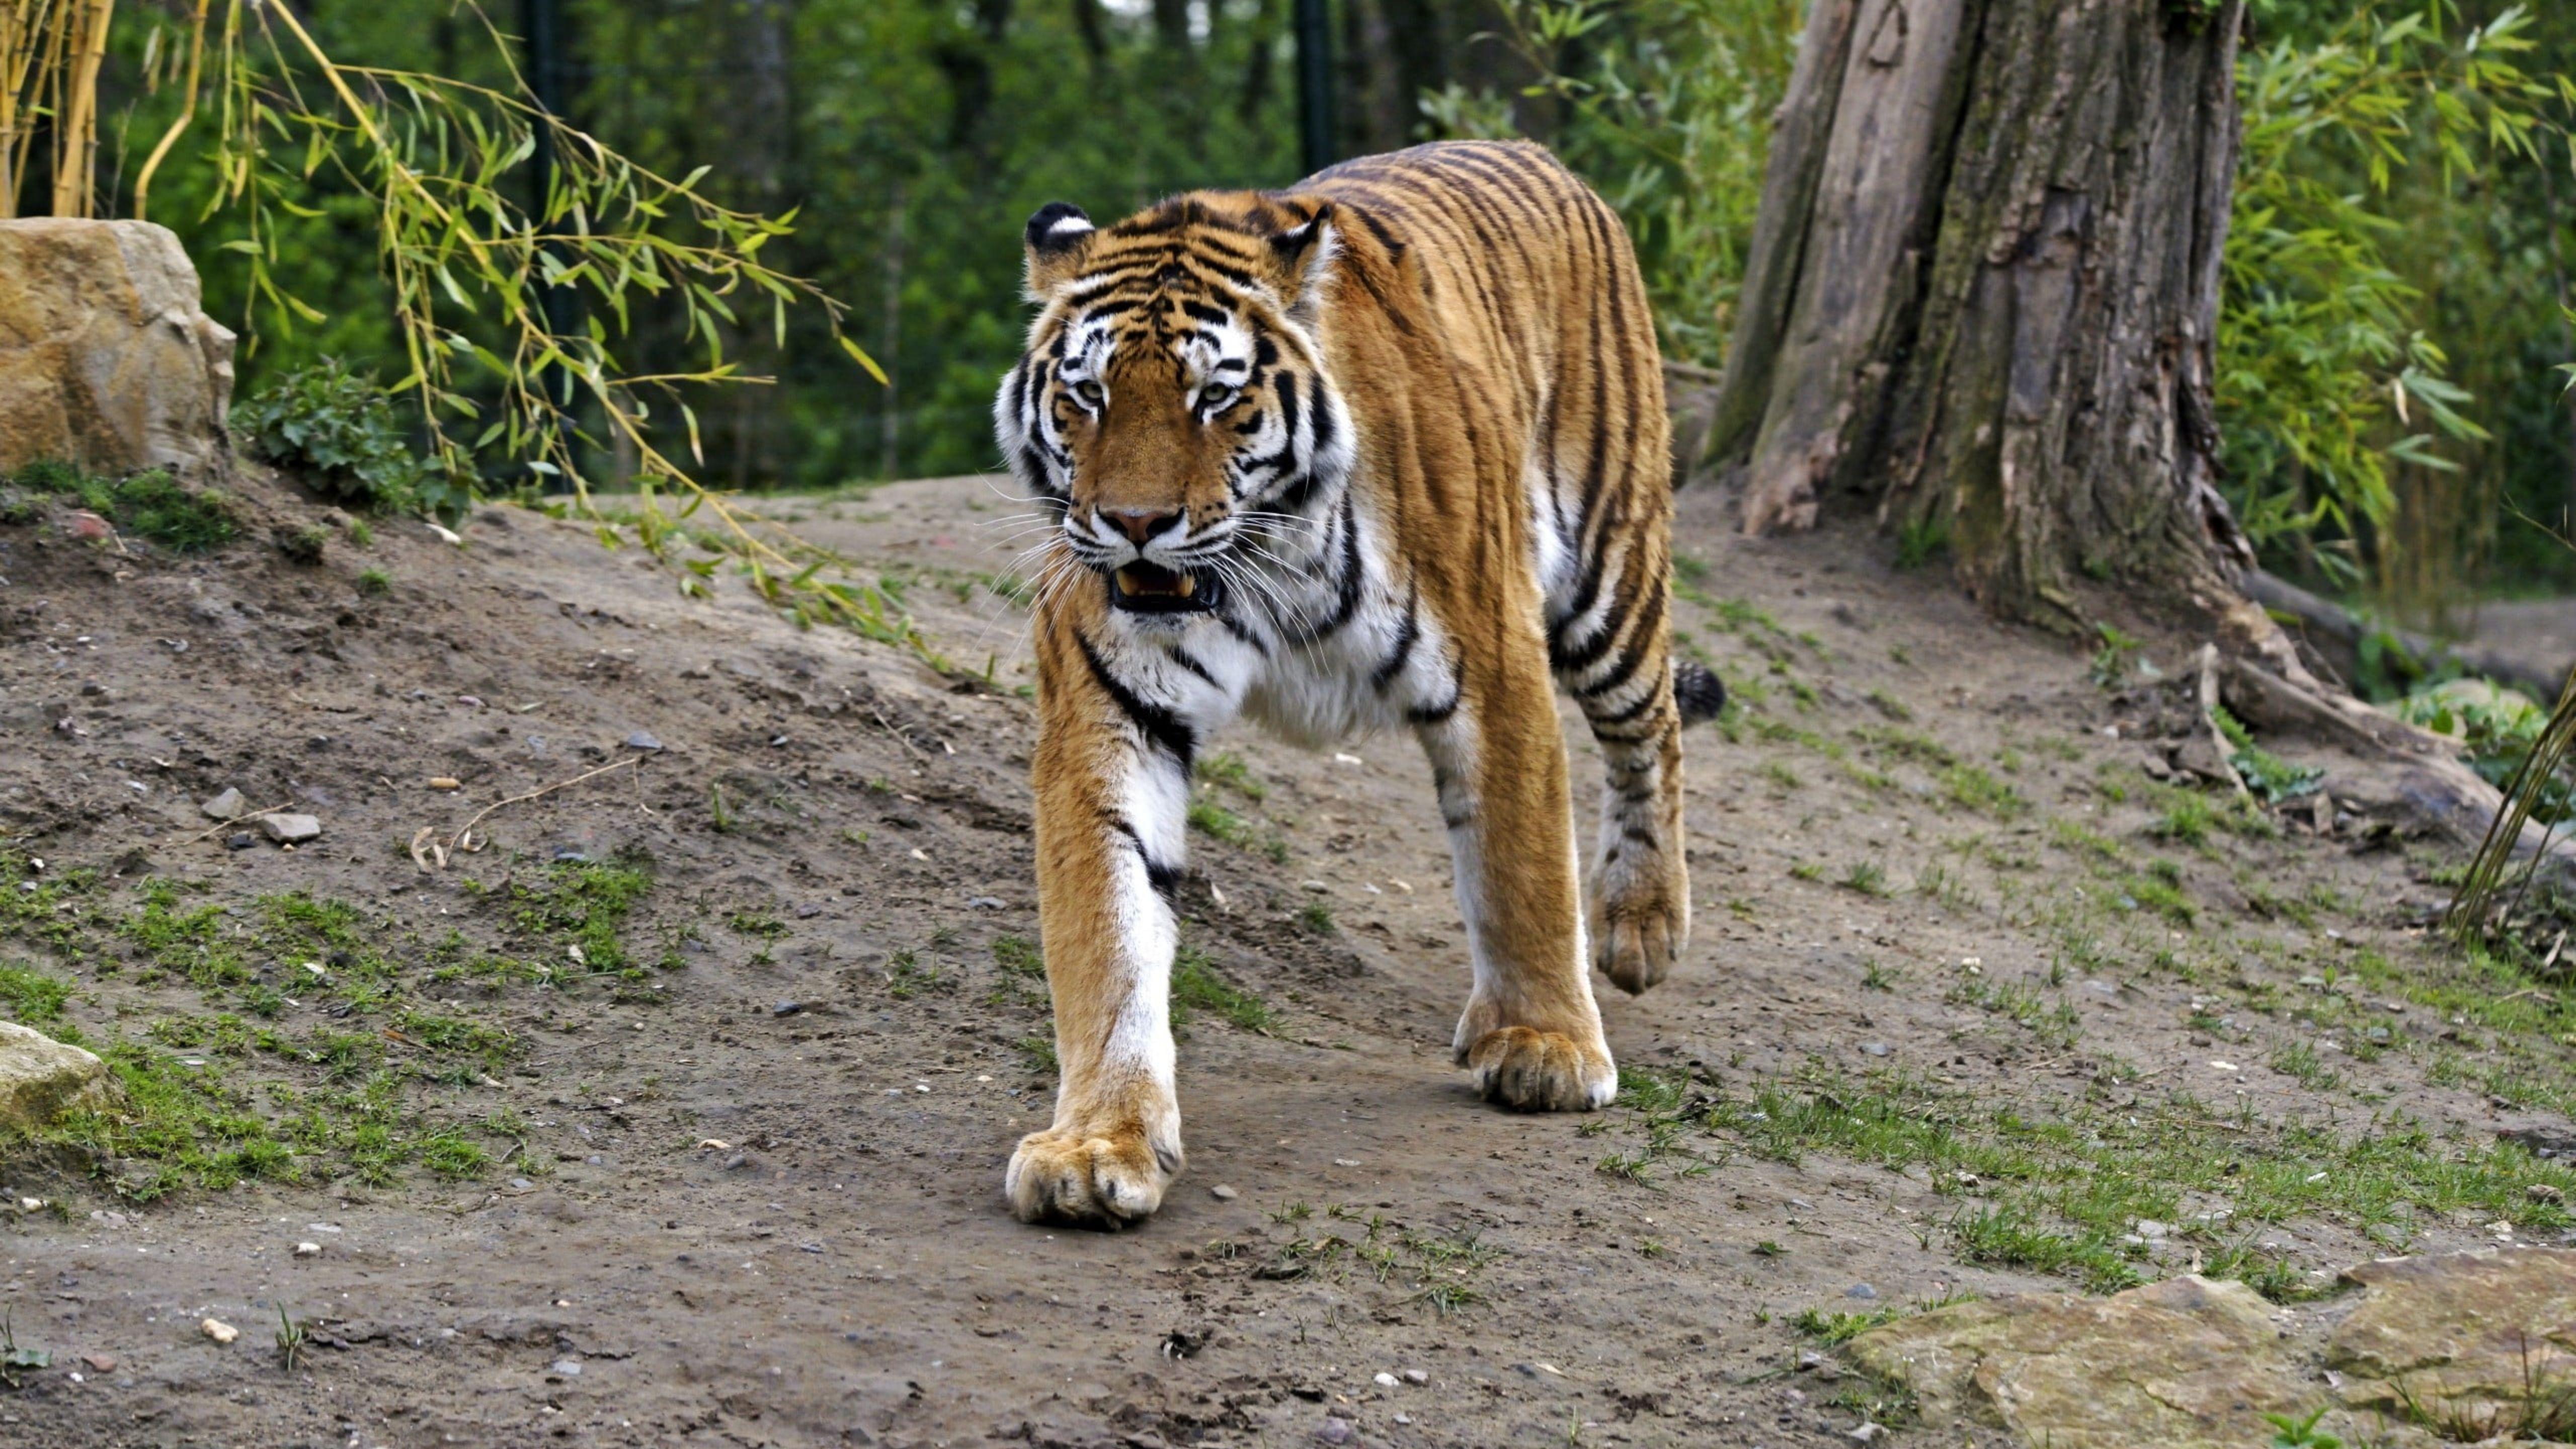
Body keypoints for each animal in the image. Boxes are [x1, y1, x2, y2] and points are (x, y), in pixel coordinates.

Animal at [992, 139, 1725, 1227]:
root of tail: (1538, 153)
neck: (1263, 558)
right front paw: (1095, 1144)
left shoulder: (1497, 665)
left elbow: (1522, 869)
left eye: (1214, 397)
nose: (1134, 525)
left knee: (1653, 730)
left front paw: (1548, 1047)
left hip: (1611, 574)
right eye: (1087, 396)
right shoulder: (1110, 712)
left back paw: (1641, 930)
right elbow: (1109, 935)